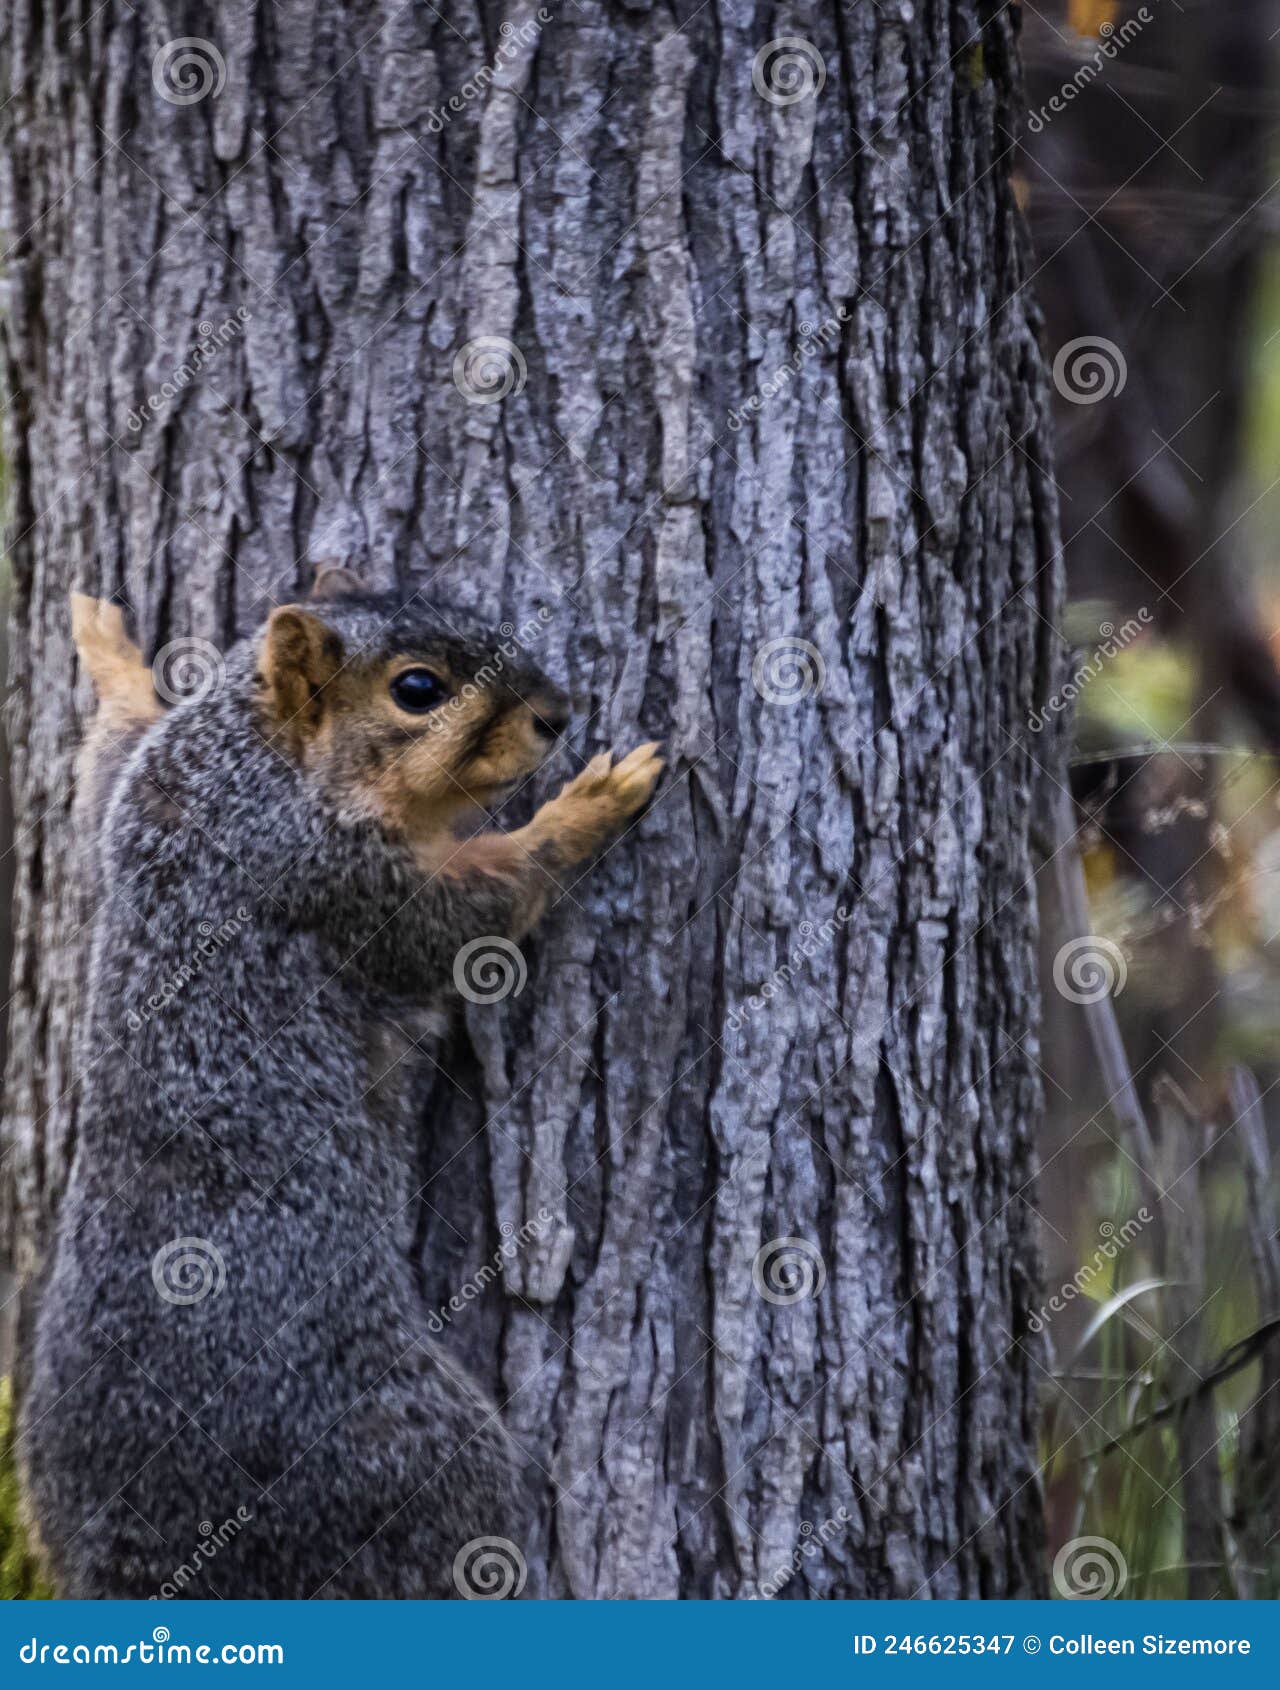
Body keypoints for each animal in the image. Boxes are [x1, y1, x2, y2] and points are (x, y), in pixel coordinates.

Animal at [20, 571, 662, 1598]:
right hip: (405, 1455)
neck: (250, 768)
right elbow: (479, 909)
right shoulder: (347, 883)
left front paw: (109, 651)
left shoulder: (132, 803)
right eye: (417, 690)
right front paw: (592, 802)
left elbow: (105, 761)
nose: (557, 715)